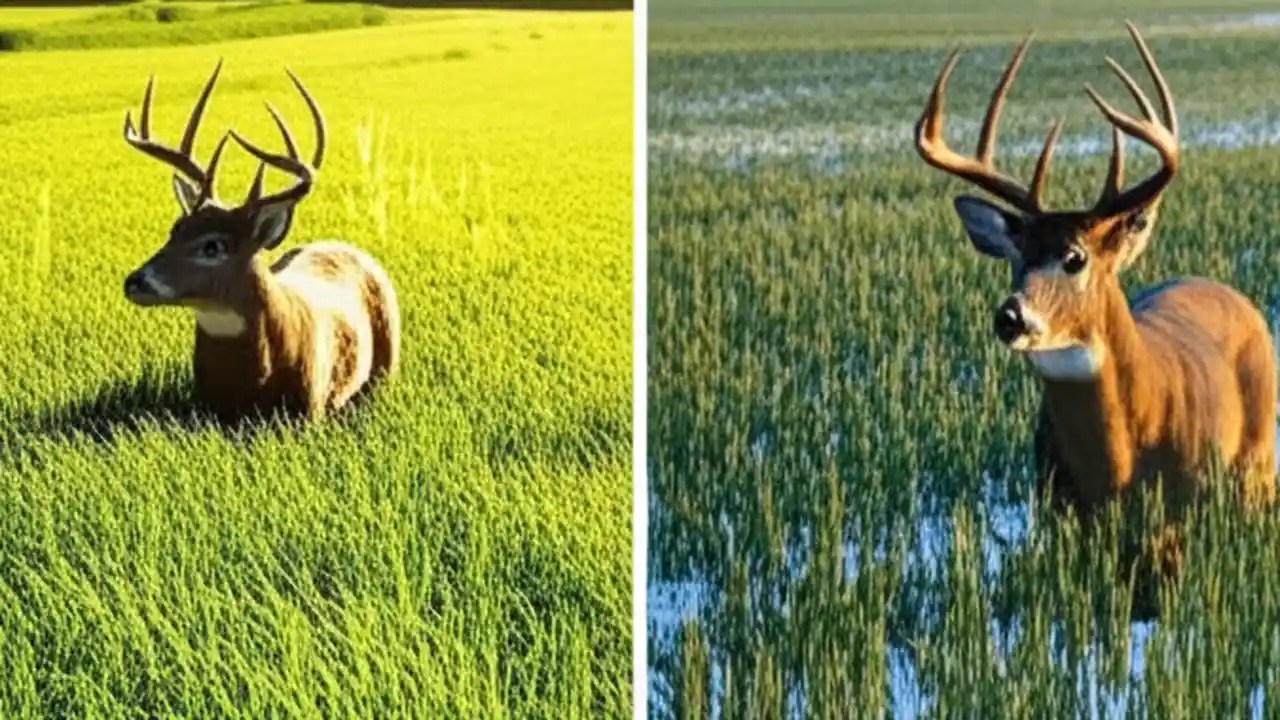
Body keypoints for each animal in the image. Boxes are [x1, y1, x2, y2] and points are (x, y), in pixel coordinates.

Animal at [121, 62, 400, 423]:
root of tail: (353, 249)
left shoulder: (308, 410)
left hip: (387, 360)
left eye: (213, 246)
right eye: (175, 229)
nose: (135, 281)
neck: (251, 382)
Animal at [914, 24, 1277, 614]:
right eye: (1016, 257)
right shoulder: (1061, 517)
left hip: (1257, 459)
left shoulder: (1174, 519)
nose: (1011, 316)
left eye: (1075, 257)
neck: (1120, 464)